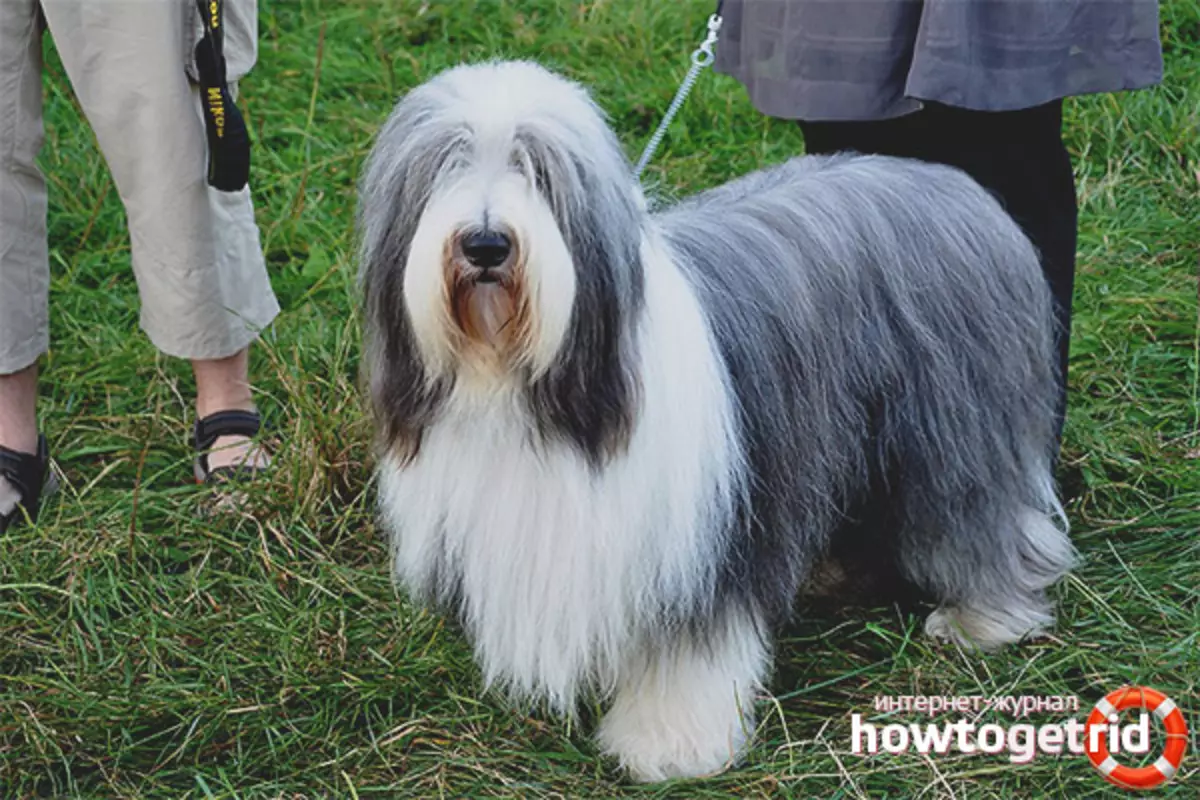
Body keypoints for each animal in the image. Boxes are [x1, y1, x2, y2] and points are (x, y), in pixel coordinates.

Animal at [355, 61, 1080, 782]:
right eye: (444, 166)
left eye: (537, 170)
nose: (485, 243)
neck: (522, 386)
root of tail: (953, 185)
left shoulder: (695, 546)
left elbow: (686, 649)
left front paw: (669, 744)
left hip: (955, 433)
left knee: (979, 514)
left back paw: (985, 617)